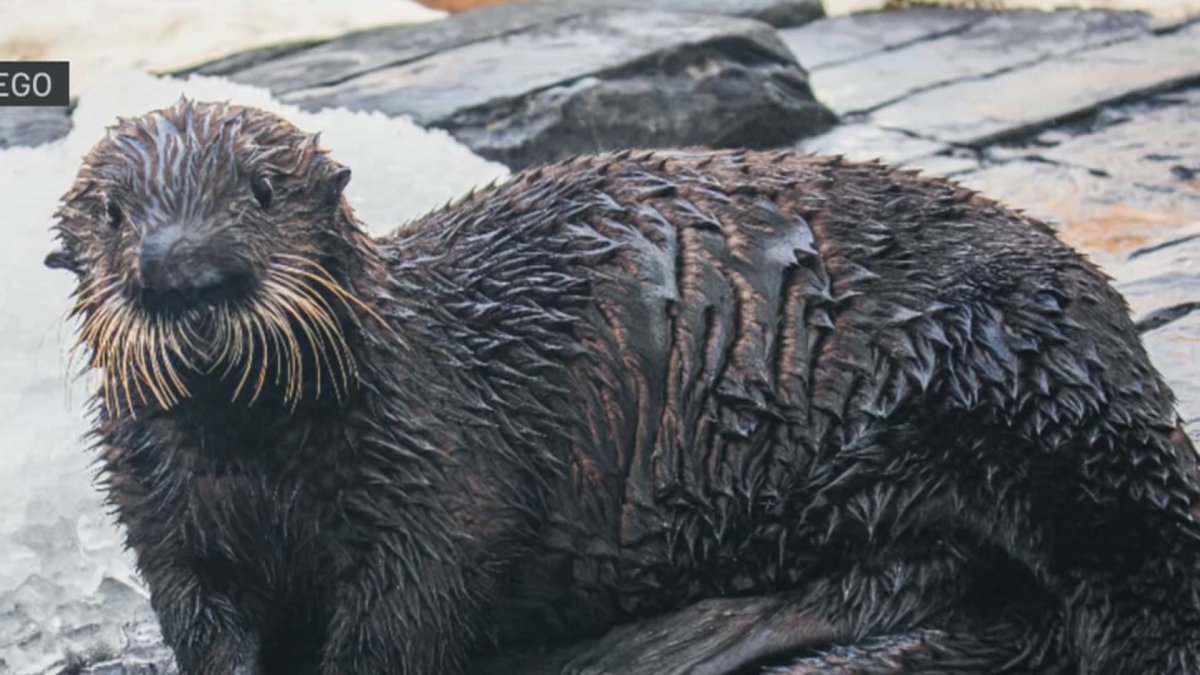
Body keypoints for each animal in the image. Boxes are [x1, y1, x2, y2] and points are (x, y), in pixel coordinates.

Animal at [46, 99, 1200, 675]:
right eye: (112, 211)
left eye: (260, 190)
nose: (187, 270)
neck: (259, 460)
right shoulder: (162, 518)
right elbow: (203, 618)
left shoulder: (432, 474)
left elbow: (405, 611)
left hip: (1030, 374)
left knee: (1134, 562)